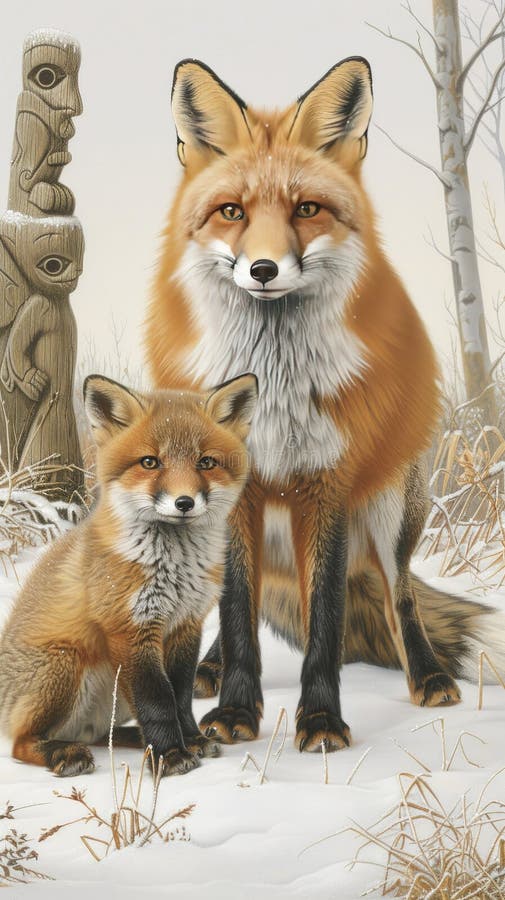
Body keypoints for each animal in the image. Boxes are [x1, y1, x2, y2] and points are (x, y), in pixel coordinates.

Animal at [0, 371, 258, 775]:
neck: (175, 569)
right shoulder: (130, 628)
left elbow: (179, 696)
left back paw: (134, 740)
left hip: (111, 697)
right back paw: (64, 753)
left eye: (206, 462)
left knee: (98, 734)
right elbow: (157, 700)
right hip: (65, 665)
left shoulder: (186, 625)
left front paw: (189, 740)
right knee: (22, 743)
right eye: (150, 462)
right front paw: (170, 755)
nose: (184, 502)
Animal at [146, 57, 505, 753]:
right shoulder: (235, 496)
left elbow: (327, 622)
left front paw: (319, 721)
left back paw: (429, 679)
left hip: (391, 511)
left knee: (400, 598)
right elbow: (238, 612)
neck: (274, 395)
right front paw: (237, 710)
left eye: (307, 209)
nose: (262, 269)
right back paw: (206, 669)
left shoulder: (329, 485)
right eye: (231, 211)